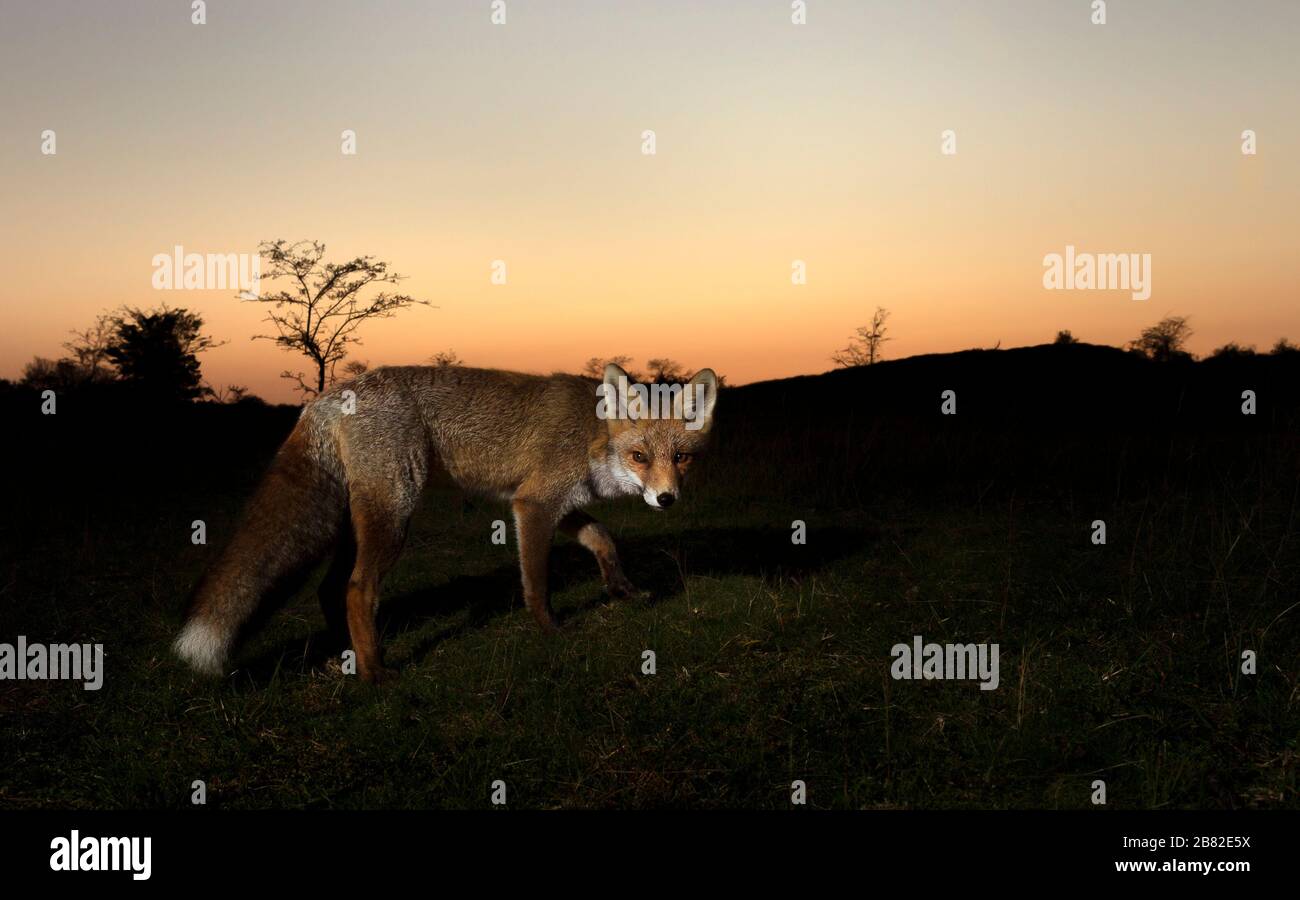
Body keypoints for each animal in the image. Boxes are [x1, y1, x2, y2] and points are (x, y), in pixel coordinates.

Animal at [173, 362, 718, 683]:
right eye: (640, 456)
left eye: (682, 458)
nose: (666, 498)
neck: (593, 434)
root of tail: (327, 395)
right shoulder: (533, 505)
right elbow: (536, 584)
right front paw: (550, 630)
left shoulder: (556, 504)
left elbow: (603, 539)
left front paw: (622, 589)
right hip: (394, 514)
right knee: (357, 590)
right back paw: (375, 675)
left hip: (361, 520)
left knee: (331, 590)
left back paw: (347, 656)